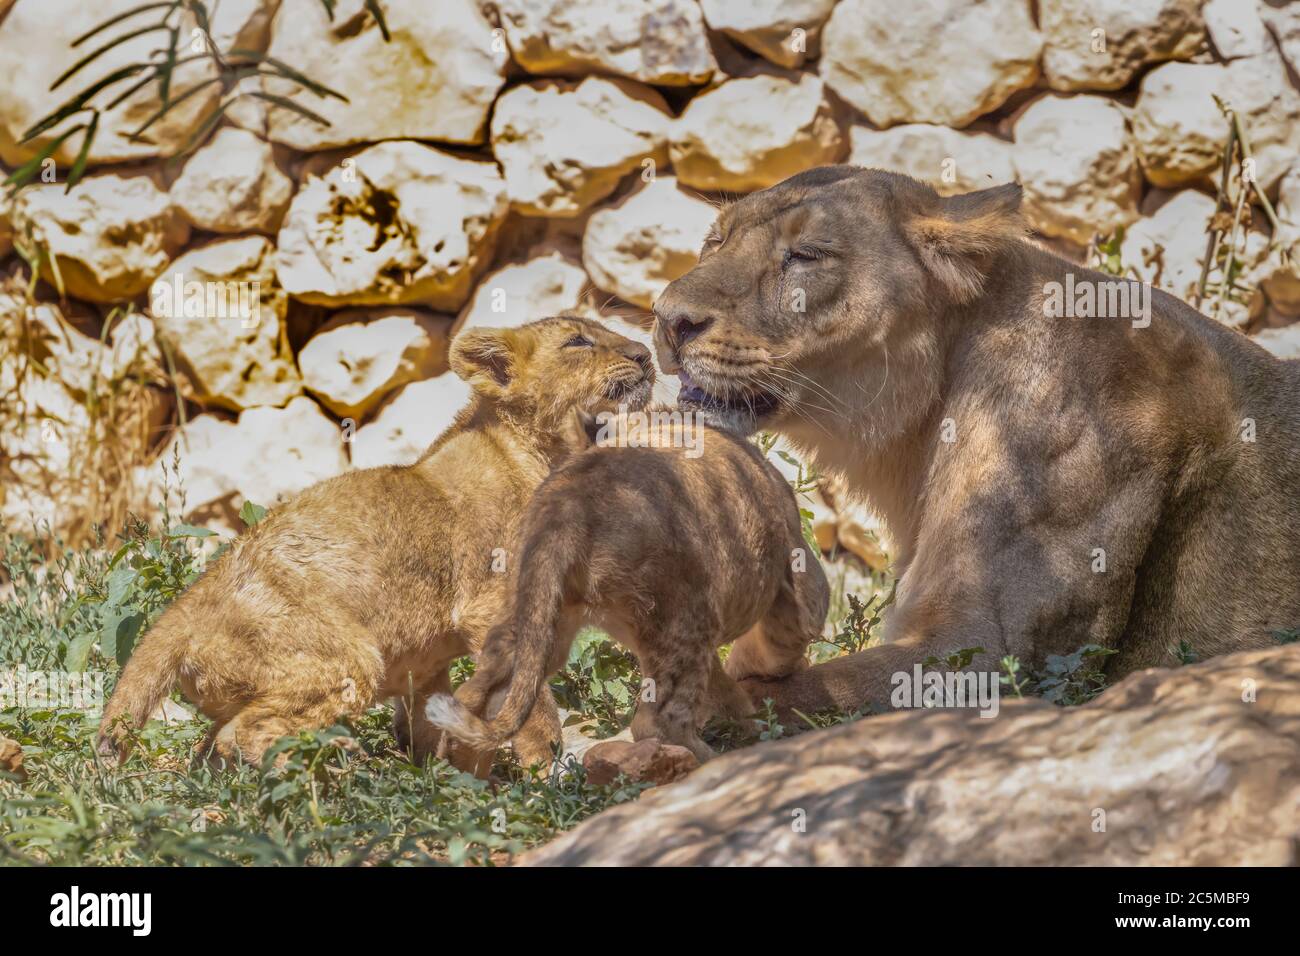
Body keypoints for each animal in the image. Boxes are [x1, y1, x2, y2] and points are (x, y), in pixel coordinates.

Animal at [97, 317, 655, 766]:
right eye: (578, 341)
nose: (645, 354)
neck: (547, 453)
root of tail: (183, 608)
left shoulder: (428, 665)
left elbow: (435, 724)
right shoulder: (494, 607)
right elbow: (532, 706)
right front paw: (544, 772)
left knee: (209, 749)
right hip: (345, 658)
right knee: (242, 735)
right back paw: (328, 770)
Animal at [424, 411, 830, 766]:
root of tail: (564, 506)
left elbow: (724, 686)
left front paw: (745, 714)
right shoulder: (798, 569)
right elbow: (790, 634)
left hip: (536, 617)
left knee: (477, 691)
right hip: (683, 618)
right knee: (656, 722)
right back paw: (713, 759)